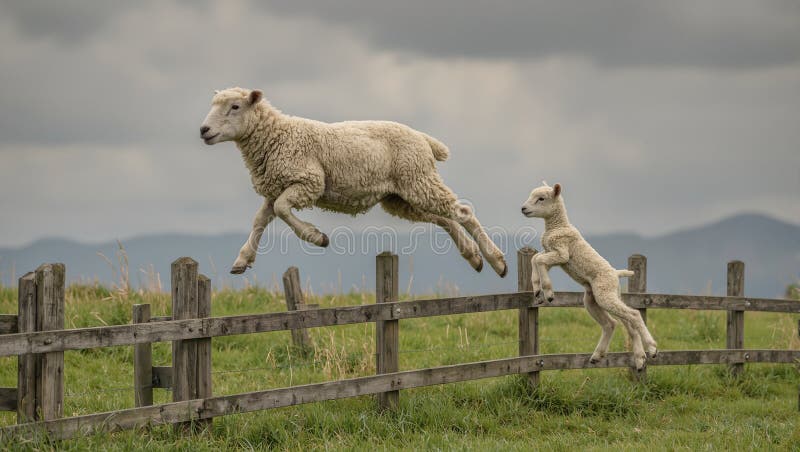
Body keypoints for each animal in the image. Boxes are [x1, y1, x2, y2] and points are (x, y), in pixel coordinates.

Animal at [200, 87, 508, 277]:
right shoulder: (276, 188)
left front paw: (317, 237)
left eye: (235, 106)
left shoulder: (308, 181)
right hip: (403, 195)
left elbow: (282, 210)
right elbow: (260, 220)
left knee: (462, 212)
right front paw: (242, 260)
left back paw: (496, 260)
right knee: (444, 218)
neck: (277, 135)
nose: (204, 130)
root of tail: (423, 138)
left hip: (417, 179)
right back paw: (473, 257)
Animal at [520, 182, 657, 370]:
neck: (558, 226)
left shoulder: (562, 253)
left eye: (541, 199)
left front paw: (548, 293)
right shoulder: (551, 253)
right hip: (595, 299)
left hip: (604, 293)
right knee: (614, 323)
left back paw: (651, 349)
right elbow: (535, 259)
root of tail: (616, 273)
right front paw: (536, 290)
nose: (523, 208)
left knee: (633, 315)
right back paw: (622, 357)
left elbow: (539, 260)